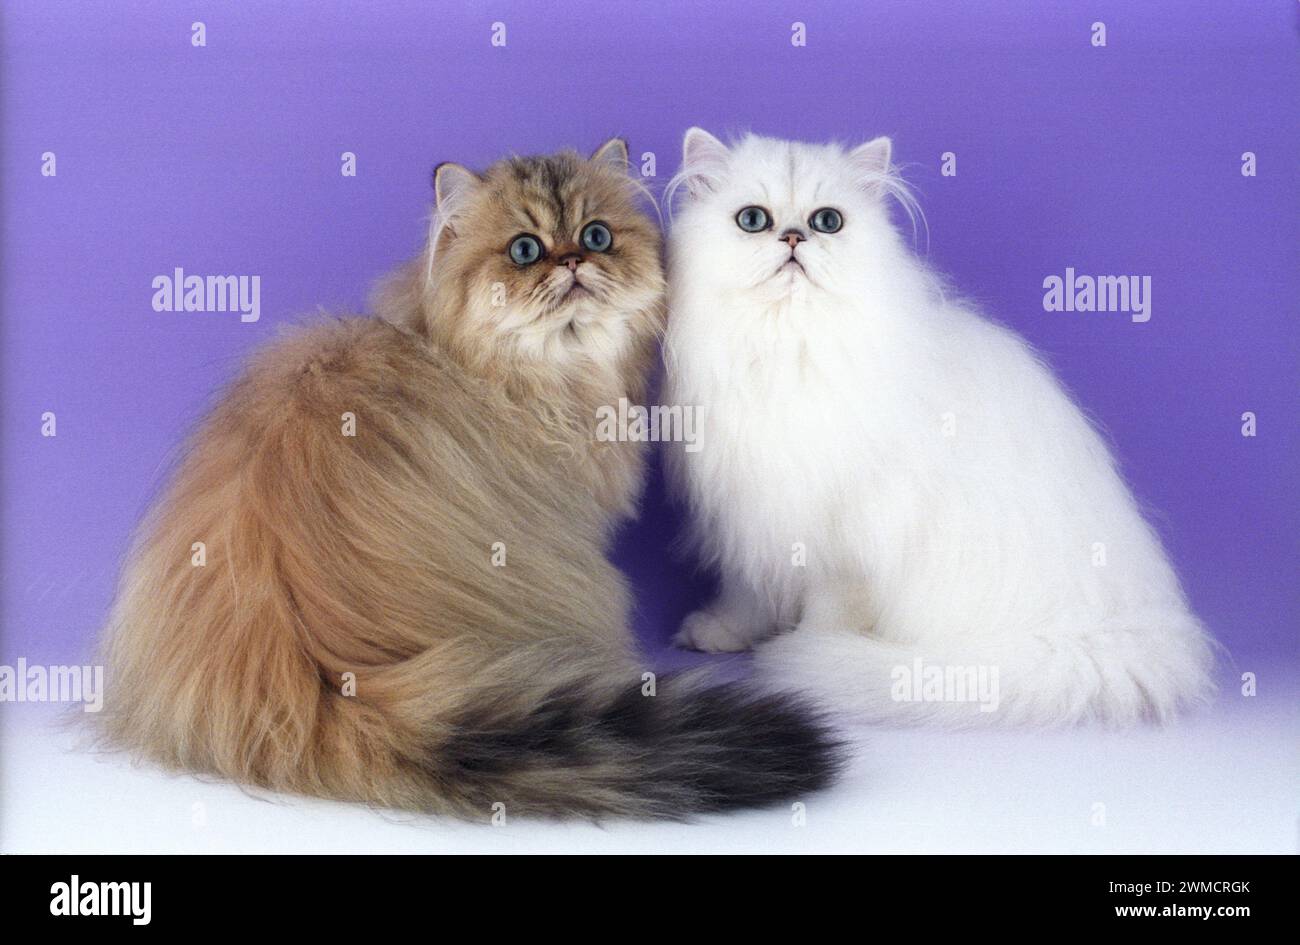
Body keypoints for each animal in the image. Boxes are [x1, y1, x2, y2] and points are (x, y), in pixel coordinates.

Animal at [665, 129, 1211, 727]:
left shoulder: (844, 538)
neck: (785, 343)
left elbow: (830, 609)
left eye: (827, 221)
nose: (792, 237)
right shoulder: (751, 511)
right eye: (753, 220)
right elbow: (747, 593)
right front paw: (721, 633)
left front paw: (808, 649)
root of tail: (1119, 630)